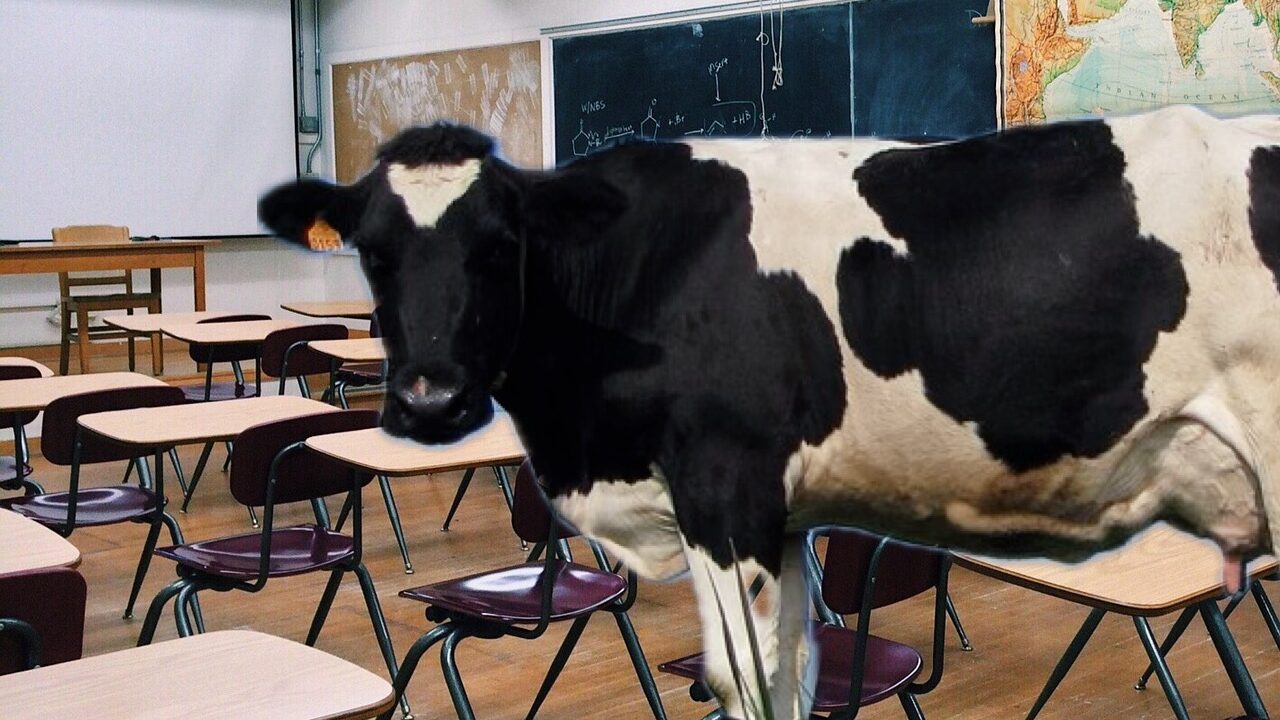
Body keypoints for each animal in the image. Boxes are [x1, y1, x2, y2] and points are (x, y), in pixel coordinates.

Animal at [260, 105, 1280, 719]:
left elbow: (740, 683)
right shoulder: (781, 518)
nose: (428, 395)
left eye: (497, 245)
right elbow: (795, 674)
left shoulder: (724, 489)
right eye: (372, 252)